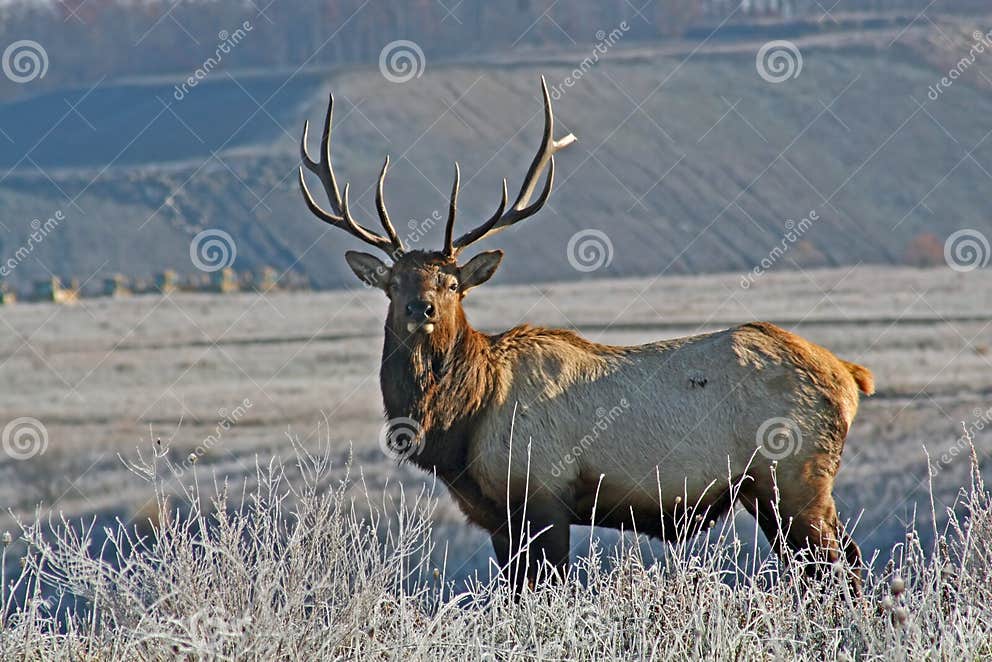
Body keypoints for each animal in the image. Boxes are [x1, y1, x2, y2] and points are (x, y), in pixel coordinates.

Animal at [296, 78, 875, 593]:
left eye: (452, 282)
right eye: (394, 283)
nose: (423, 308)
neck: (462, 424)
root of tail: (851, 377)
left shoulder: (545, 494)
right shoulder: (497, 516)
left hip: (797, 478)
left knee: (842, 567)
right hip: (770, 493)